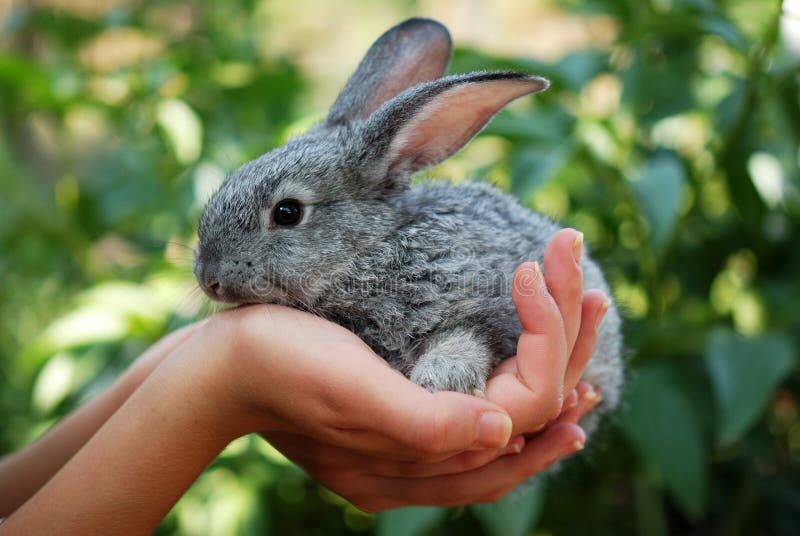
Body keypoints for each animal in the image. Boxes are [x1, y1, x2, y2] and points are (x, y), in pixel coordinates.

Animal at [194, 18, 623, 431]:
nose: (207, 278)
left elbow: (470, 334)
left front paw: (443, 377)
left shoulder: (493, 303)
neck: (373, 249)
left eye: (287, 212)